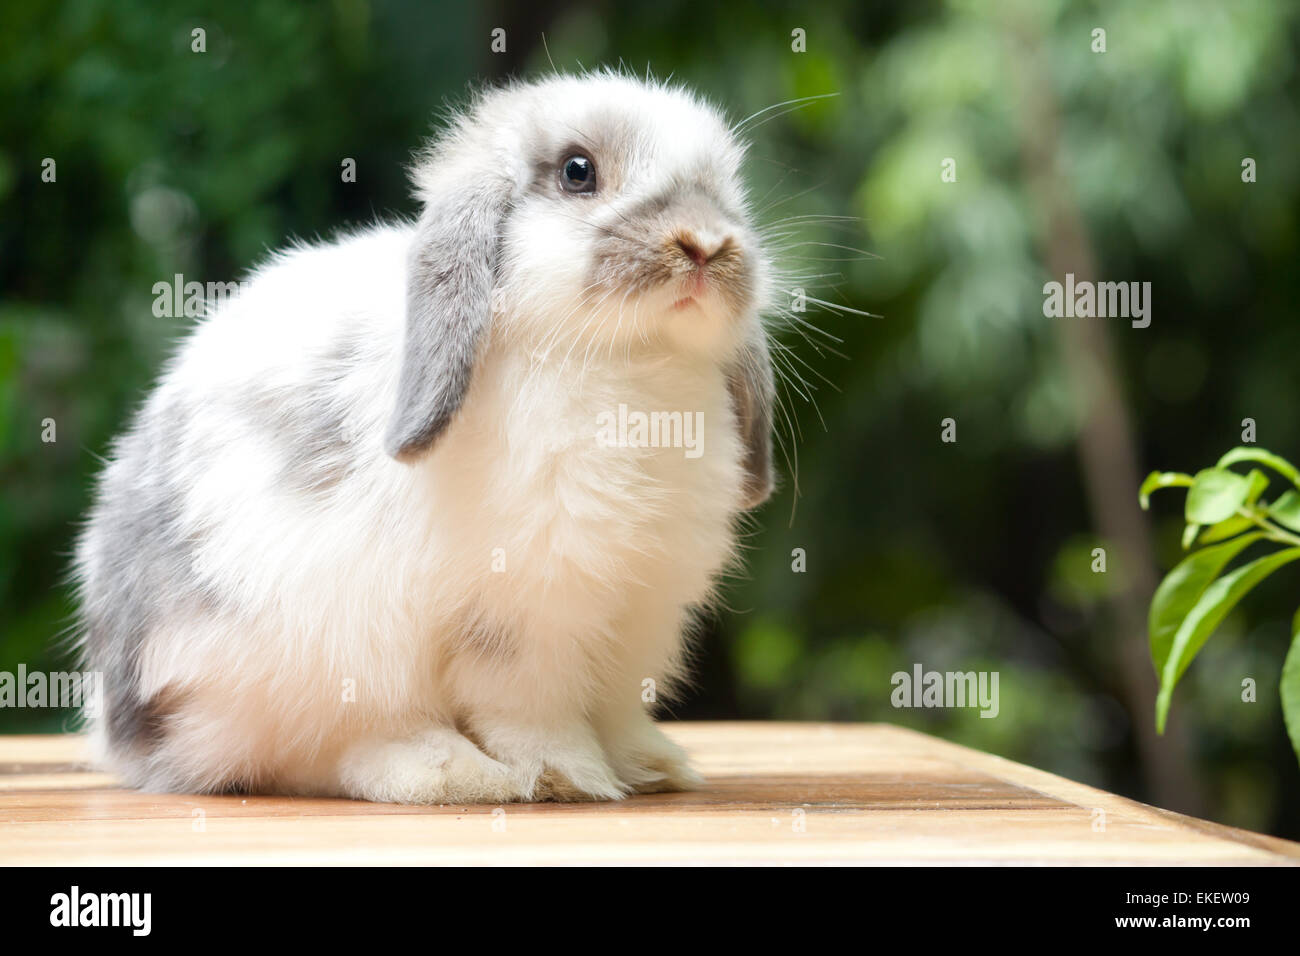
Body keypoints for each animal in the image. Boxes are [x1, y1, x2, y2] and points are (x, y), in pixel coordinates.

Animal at [72, 70, 777, 803]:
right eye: (577, 172)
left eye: (726, 186)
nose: (704, 243)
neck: (633, 362)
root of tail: (121, 730)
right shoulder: (524, 614)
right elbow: (529, 707)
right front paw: (566, 775)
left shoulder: (638, 613)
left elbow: (612, 710)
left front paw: (645, 763)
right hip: (303, 655)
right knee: (320, 748)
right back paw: (453, 773)